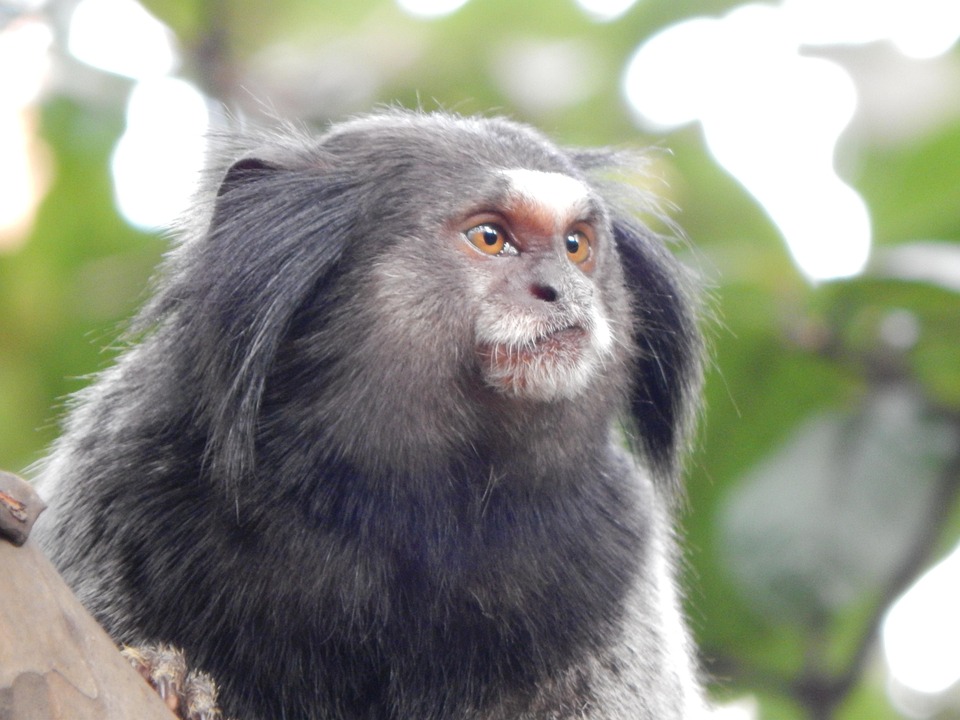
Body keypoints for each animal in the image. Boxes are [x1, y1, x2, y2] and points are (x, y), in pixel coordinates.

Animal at [32, 109, 707, 719]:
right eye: (490, 238)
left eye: (576, 247)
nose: (565, 293)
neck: (396, 502)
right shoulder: (127, 461)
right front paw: (166, 675)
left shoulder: (617, 547)